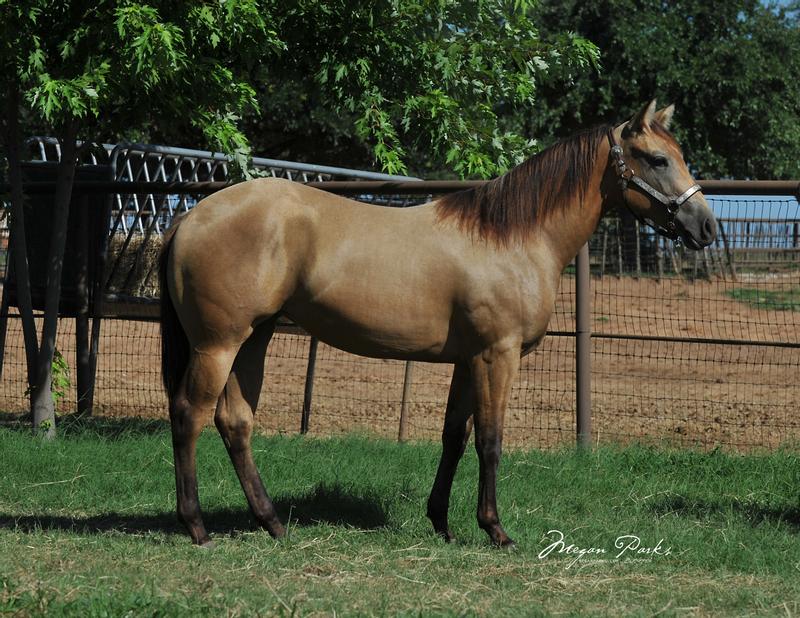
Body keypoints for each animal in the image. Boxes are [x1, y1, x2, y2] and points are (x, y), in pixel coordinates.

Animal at [159, 100, 717, 547]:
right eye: (658, 159)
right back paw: (197, 527)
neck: (512, 237)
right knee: (189, 415)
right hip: (218, 345)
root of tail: (190, 215)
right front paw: (495, 529)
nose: (707, 227)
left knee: (235, 422)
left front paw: (443, 523)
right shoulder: (497, 355)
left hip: (253, 339)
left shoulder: (467, 362)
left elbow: (455, 437)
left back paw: (273, 523)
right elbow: (490, 440)